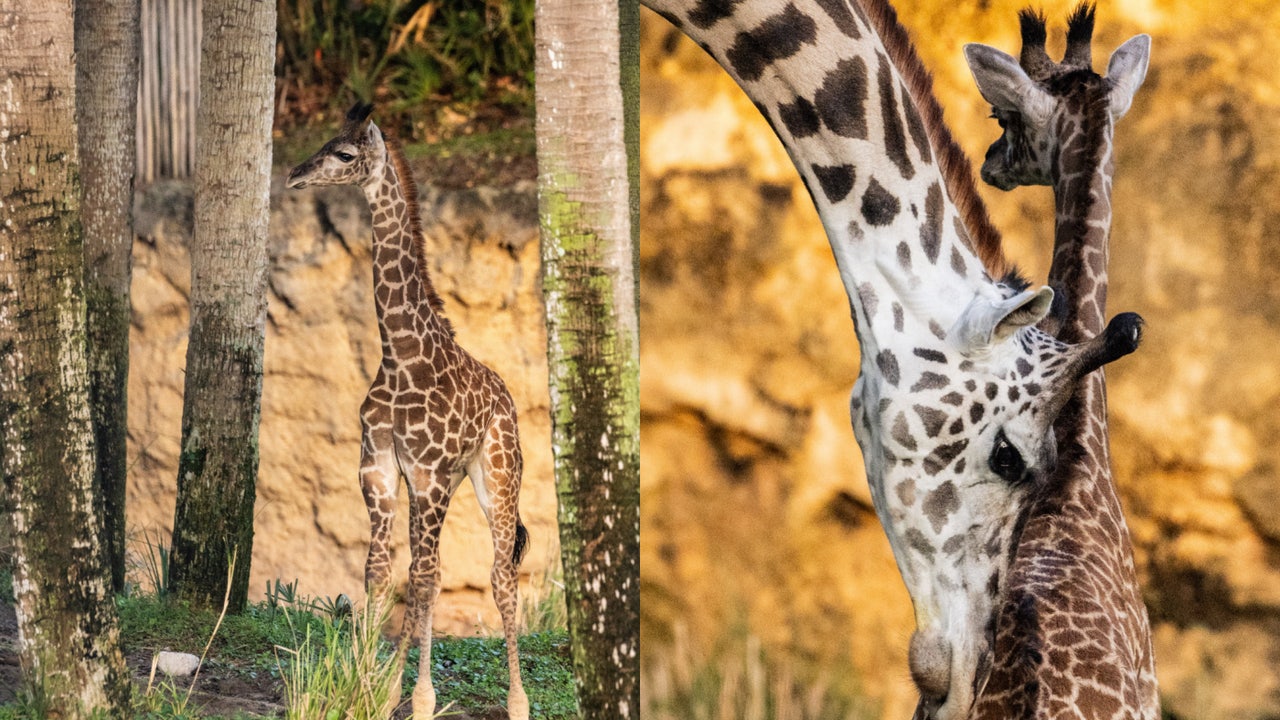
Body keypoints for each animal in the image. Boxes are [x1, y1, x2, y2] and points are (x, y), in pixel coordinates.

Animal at [285, 103, 530, 720]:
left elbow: (422, 579)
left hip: (496, 475)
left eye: (345, 153)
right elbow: (380, 573)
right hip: (449, 482)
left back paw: (519, 702)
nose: (295, 174)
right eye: (327, 140)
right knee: (440, 571)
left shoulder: (429, 476)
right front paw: (367, 688)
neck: (400, 356)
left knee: (499, 574)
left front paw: (417, 696)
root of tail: (507, 397)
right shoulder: (379, 469)